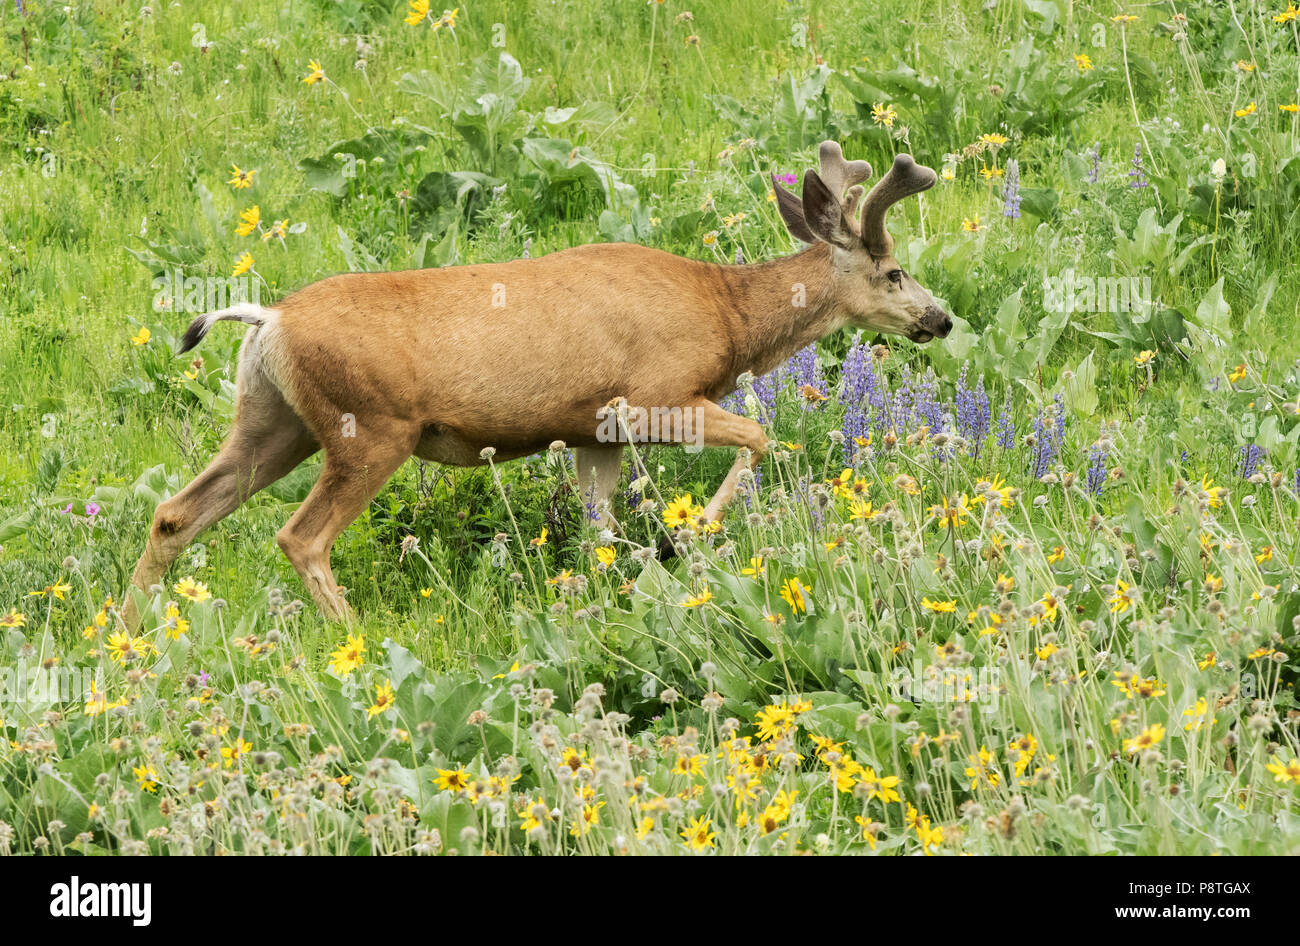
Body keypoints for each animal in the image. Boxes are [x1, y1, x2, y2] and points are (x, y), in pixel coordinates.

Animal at [122, 141, 951, 626]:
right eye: (892, 271)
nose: (939, 320)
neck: (725, 314)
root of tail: (270, 319)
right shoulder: (650, 397)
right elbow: (760, 435)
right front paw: (686, 538)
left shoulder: (594, 433)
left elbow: (597, 530)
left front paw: (616, 588)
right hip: (372, 428)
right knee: (300, 536)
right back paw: (352, 638)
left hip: (274, 422)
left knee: (175, 512)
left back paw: (126, 640)